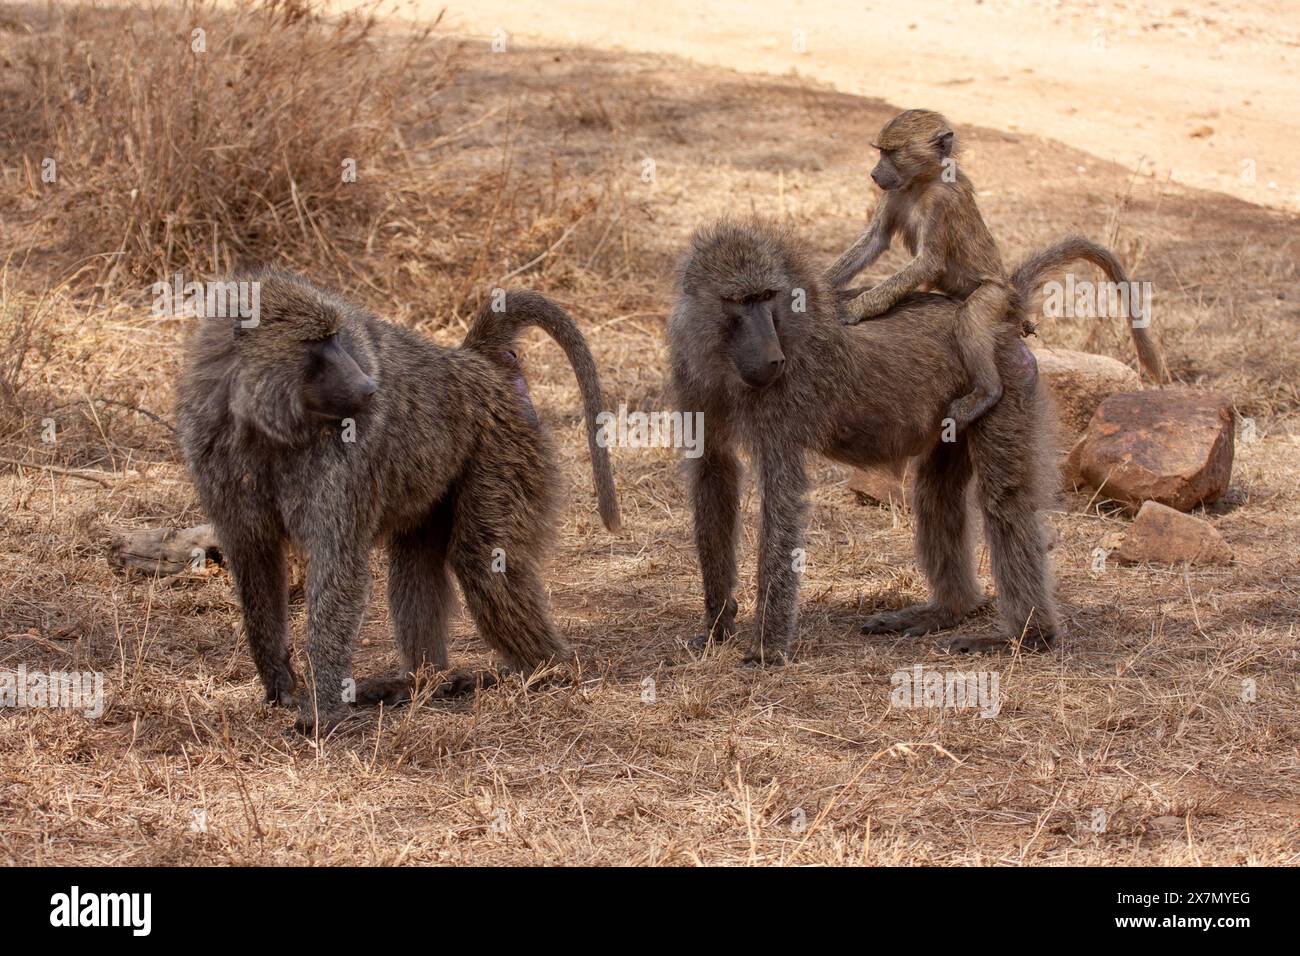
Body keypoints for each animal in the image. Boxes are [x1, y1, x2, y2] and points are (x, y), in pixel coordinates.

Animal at [176, 268, 620, 734]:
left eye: (337, 337)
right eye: (318, 342)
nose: (369, 388)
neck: (262, 425)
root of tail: (475, 362)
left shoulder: (341, 461)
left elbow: (338, 567)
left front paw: (320, 710)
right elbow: (255, 560)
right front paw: (279, 685)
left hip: (504, 447)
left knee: (482, 560)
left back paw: (542, 670)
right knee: (417, 561)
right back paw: (423, 682)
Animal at [669, 220, 1167, 664]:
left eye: (766, 297)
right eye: (740, 300)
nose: (773, 359)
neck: (728, 359)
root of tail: (995, 311)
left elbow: (781, 500)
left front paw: (766, 647)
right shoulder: (691, 372)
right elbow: (714, 473)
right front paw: (717, 624)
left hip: (1004, 382)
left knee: (1004, 503)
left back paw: (1026, 637)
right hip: (956, 415)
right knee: (936, 492)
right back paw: (949, 611)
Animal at [826, 109, 1167, 433]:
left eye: (892, 153)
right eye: (880, 152)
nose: (874, 173)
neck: (923, 182)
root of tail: (1013, 293)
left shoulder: (942, 202)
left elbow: (928, 262)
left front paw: (855, 309)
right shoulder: (894, 193)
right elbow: (875, 240)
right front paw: (822, 284)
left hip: (995, 296)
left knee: (971, 318)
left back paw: (987, 393)